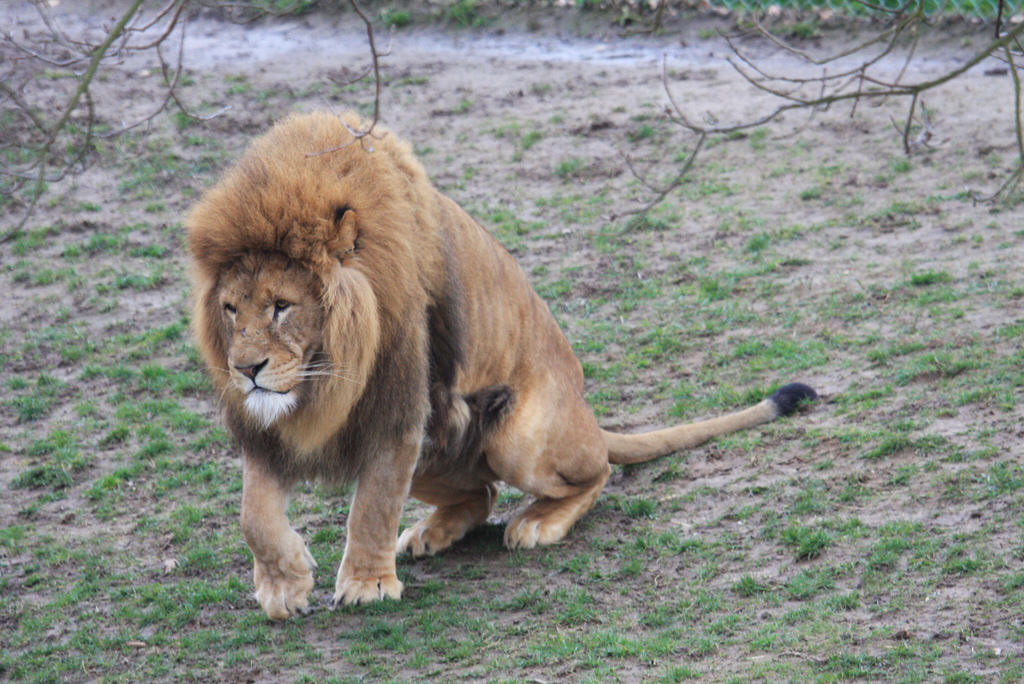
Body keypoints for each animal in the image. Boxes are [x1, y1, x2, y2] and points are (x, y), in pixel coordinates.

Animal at [187, 111, 816, 620]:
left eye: (281, 305)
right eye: (231, 309)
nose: (245, 370)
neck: (327, 375)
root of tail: (590, 418)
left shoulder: (399, 411)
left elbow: (371, 506)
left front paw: (366, 585)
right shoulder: (268, 429)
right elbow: (254, 515)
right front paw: (284, 585)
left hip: (515, 436)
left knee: (594, 473)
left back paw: (538, 523)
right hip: (440, 441)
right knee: (481, 493)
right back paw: (430, 533)